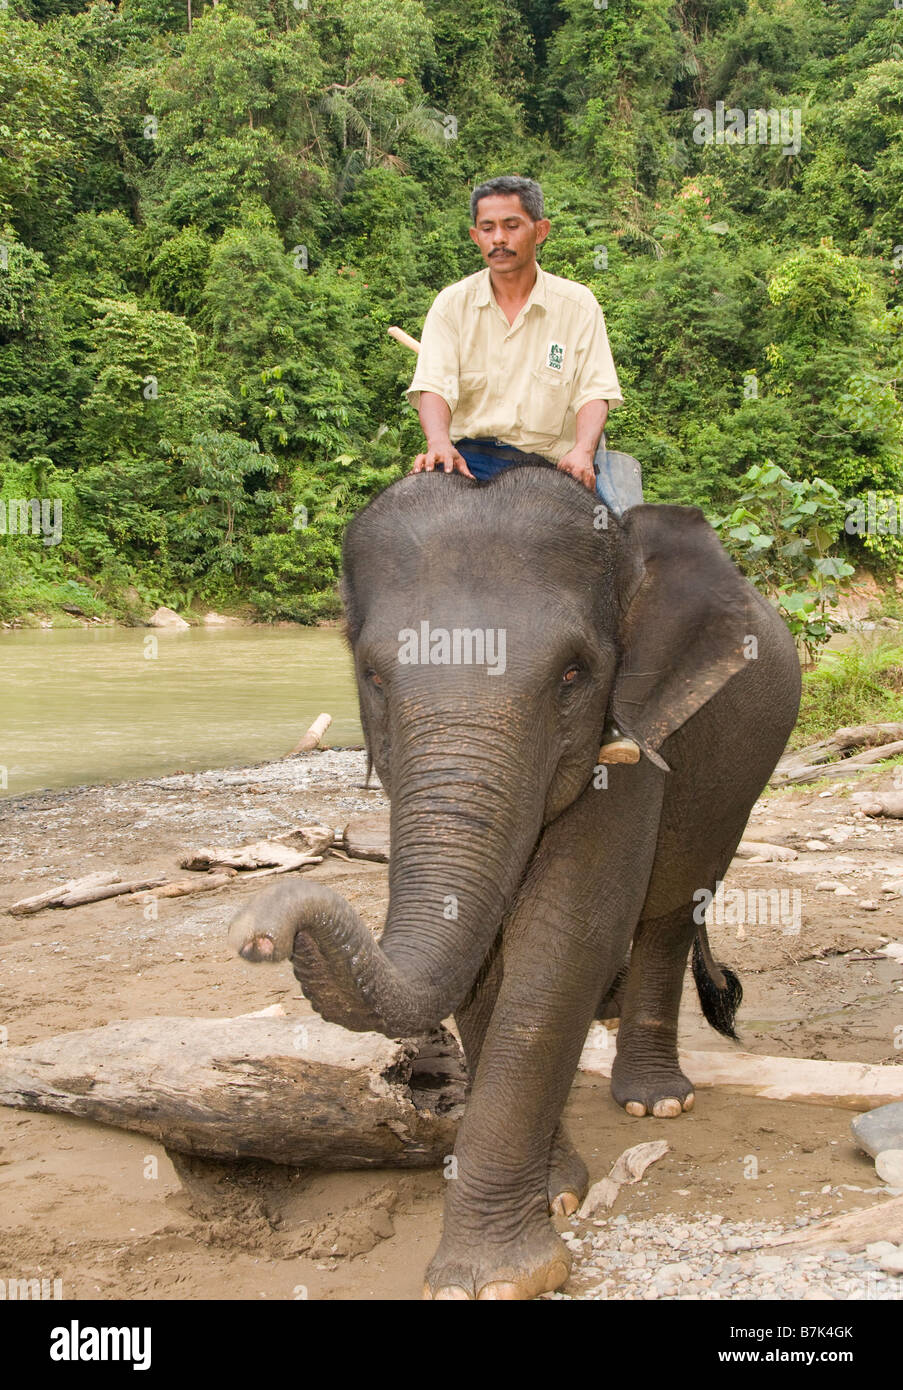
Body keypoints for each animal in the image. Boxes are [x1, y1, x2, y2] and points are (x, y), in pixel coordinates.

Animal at [229, 464, 801, 1300]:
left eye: (572, 674)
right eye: (371, 676)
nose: (260, 935)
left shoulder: (627, 729)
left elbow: (564, 939)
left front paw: (495, 1278)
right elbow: (482, 959)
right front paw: (557, 1193)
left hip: (739, 779)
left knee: (669, 912)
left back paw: (656, 1104)